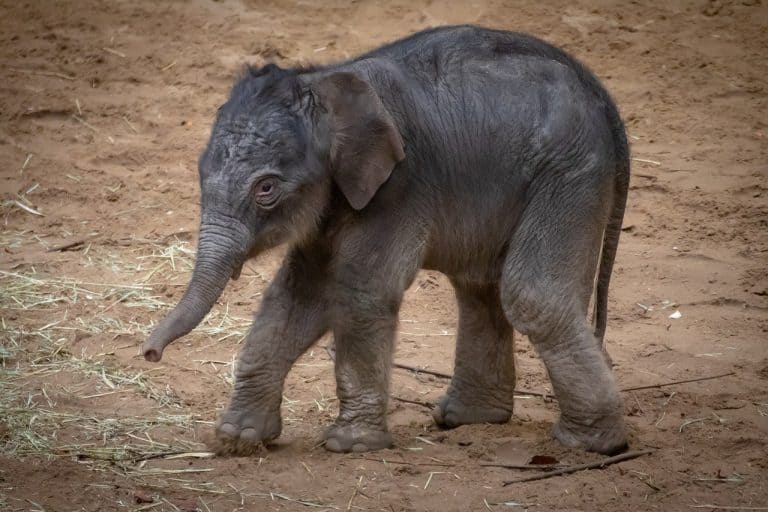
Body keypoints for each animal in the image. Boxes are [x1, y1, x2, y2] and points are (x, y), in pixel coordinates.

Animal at [142, 25, 630, 455]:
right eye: (200, 172)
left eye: (266, 188)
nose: (149, 353)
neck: (328, 80)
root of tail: (602, 96)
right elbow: (298, 295)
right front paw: (237, 440)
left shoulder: (400, 186)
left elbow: (361, 290)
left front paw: (350, 445)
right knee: (479, 287)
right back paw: (468, 420)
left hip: (570, 172)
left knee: (531, 296)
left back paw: (590, 444)